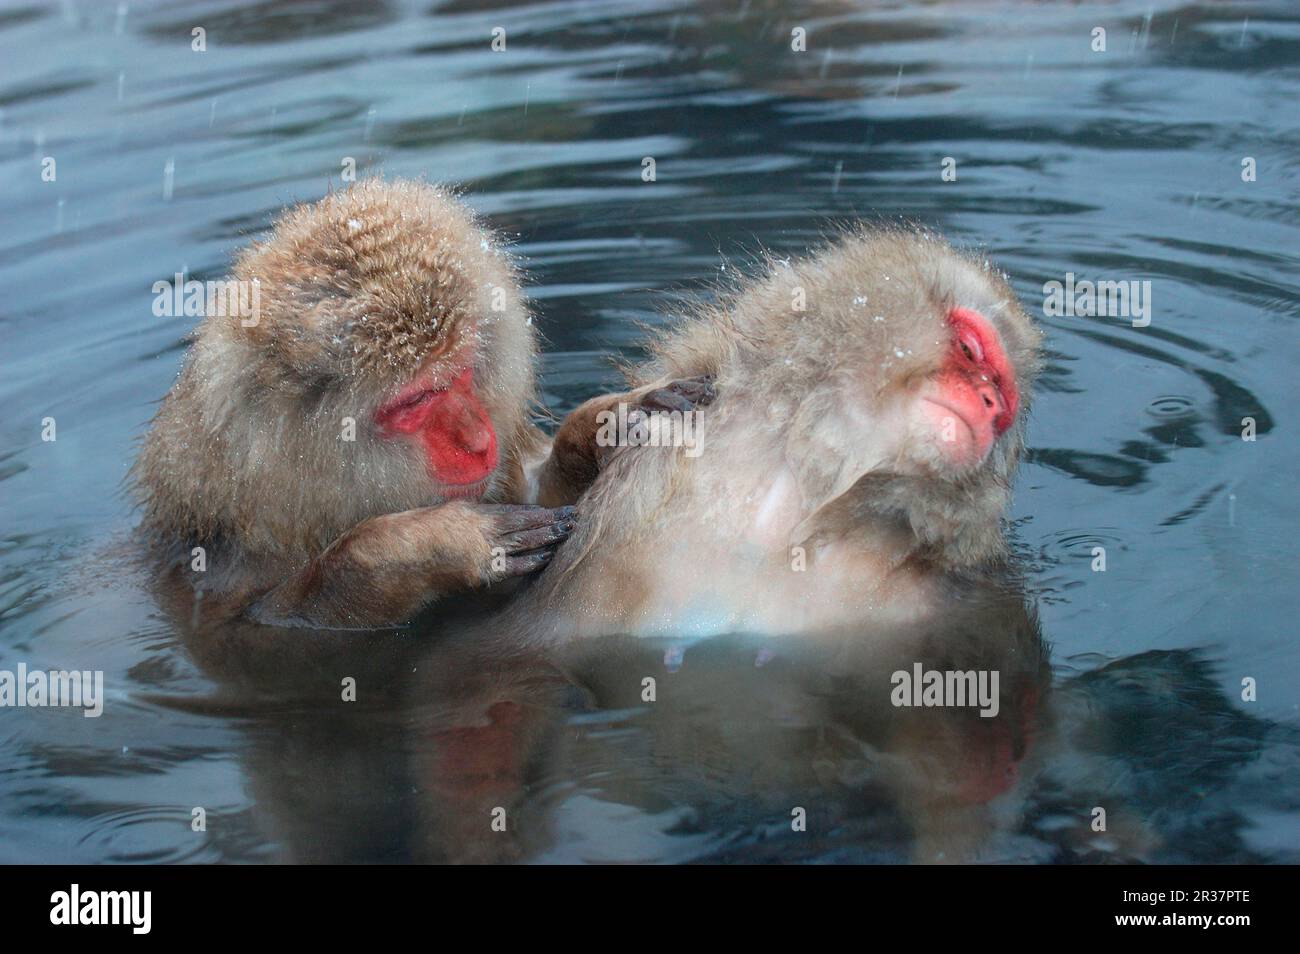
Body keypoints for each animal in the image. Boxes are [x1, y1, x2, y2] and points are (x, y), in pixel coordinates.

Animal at [132, 179, 629, 632]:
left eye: (460, 373)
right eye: (418, 398)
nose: (479, 441)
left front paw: (606, 423)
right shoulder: (214, 566)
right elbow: (258, 627)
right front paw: (431, 544)